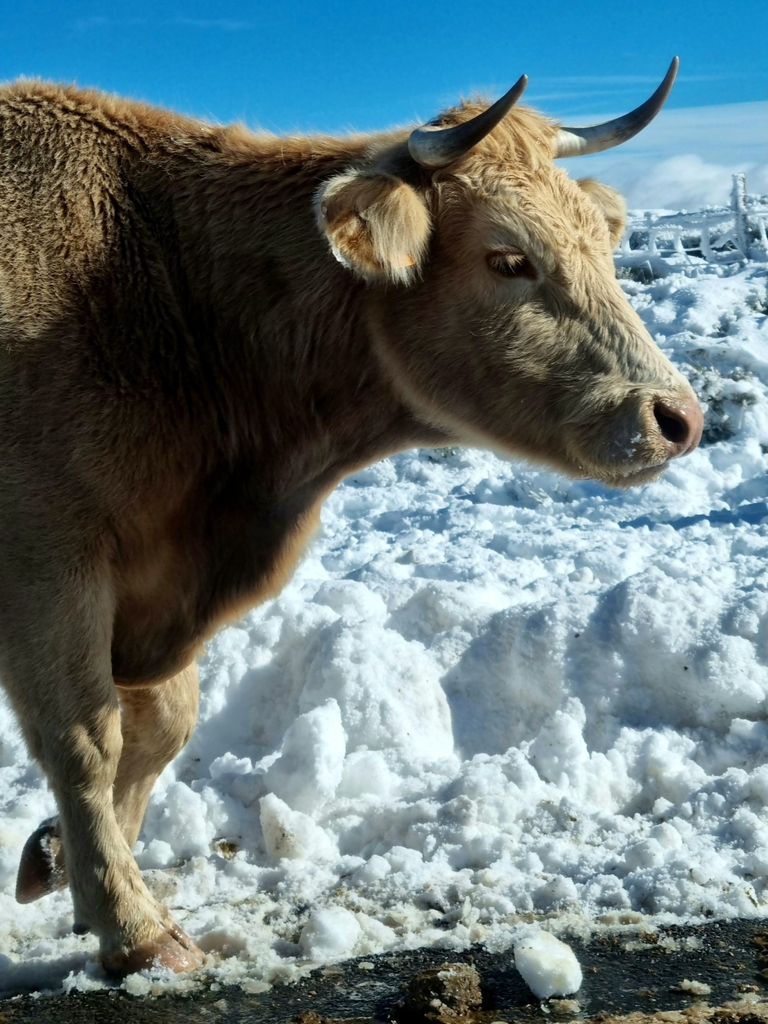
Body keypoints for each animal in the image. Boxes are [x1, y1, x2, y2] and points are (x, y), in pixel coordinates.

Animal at [0, 59, 702, 975]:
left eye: (601, 242)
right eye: (509, 257)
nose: (678, 417)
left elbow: (165, 724)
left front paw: (57, 858)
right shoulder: (48, 564)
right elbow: (87, 737)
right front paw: (134, 927)